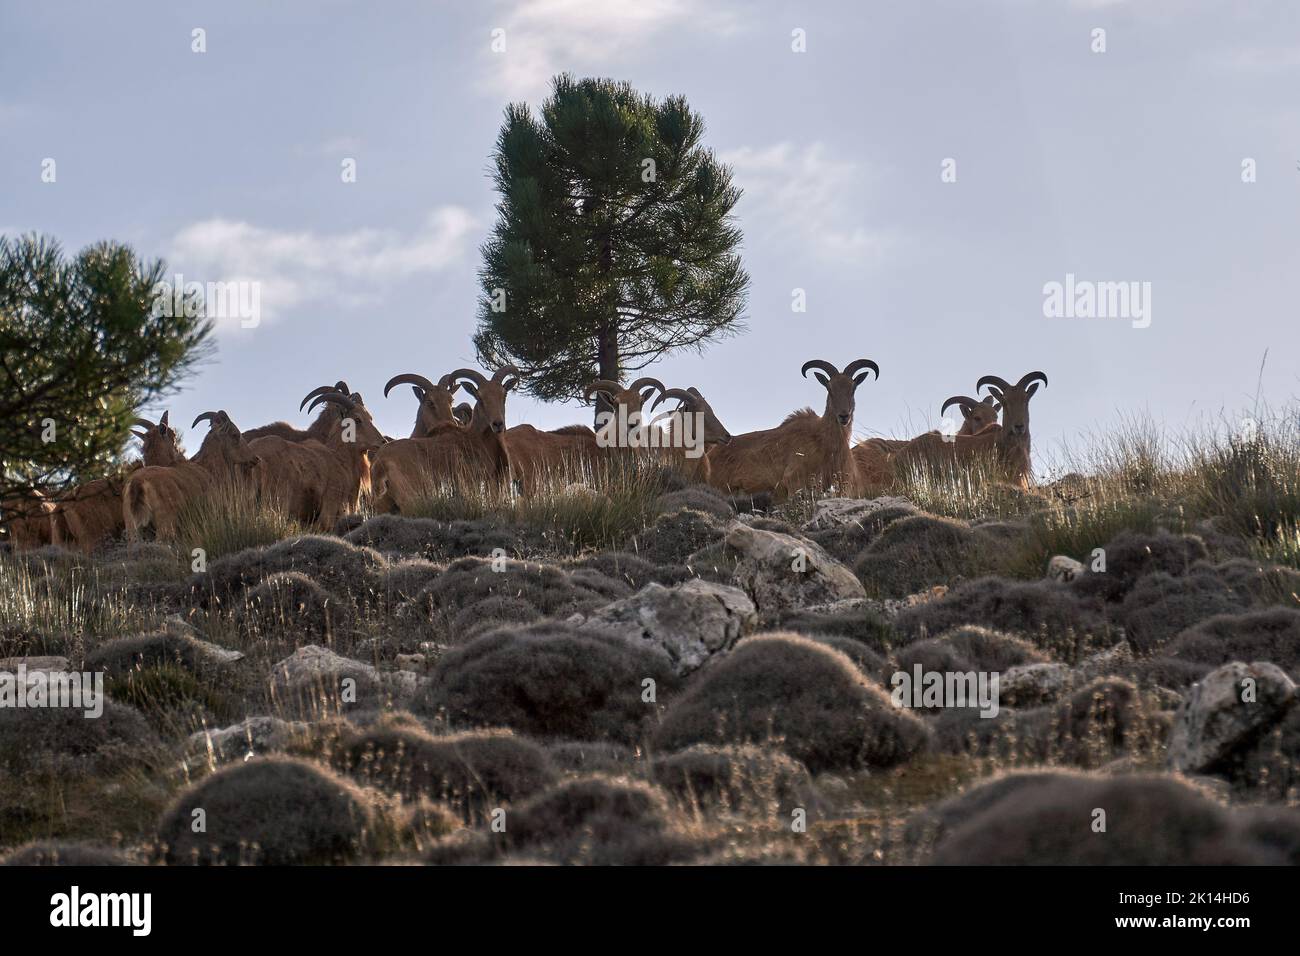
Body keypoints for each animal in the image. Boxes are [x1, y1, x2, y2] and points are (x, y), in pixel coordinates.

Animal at [123, 410, 261, 541]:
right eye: (235, 434)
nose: (255, 458)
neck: (209, 469)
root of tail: (137, 483)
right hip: (165, 526)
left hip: (133, 529)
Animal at [370, 367, 516, 513]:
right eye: (479, 397)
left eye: (504, 395)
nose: (498, 424)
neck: (475, 438)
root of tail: (381, 465)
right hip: (411, 500)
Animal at [705, 358, 879, 500]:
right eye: (829, 389)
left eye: (853, 388)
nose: (844, 416)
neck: (822, 438)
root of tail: (709, 455)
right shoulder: (794, 481)